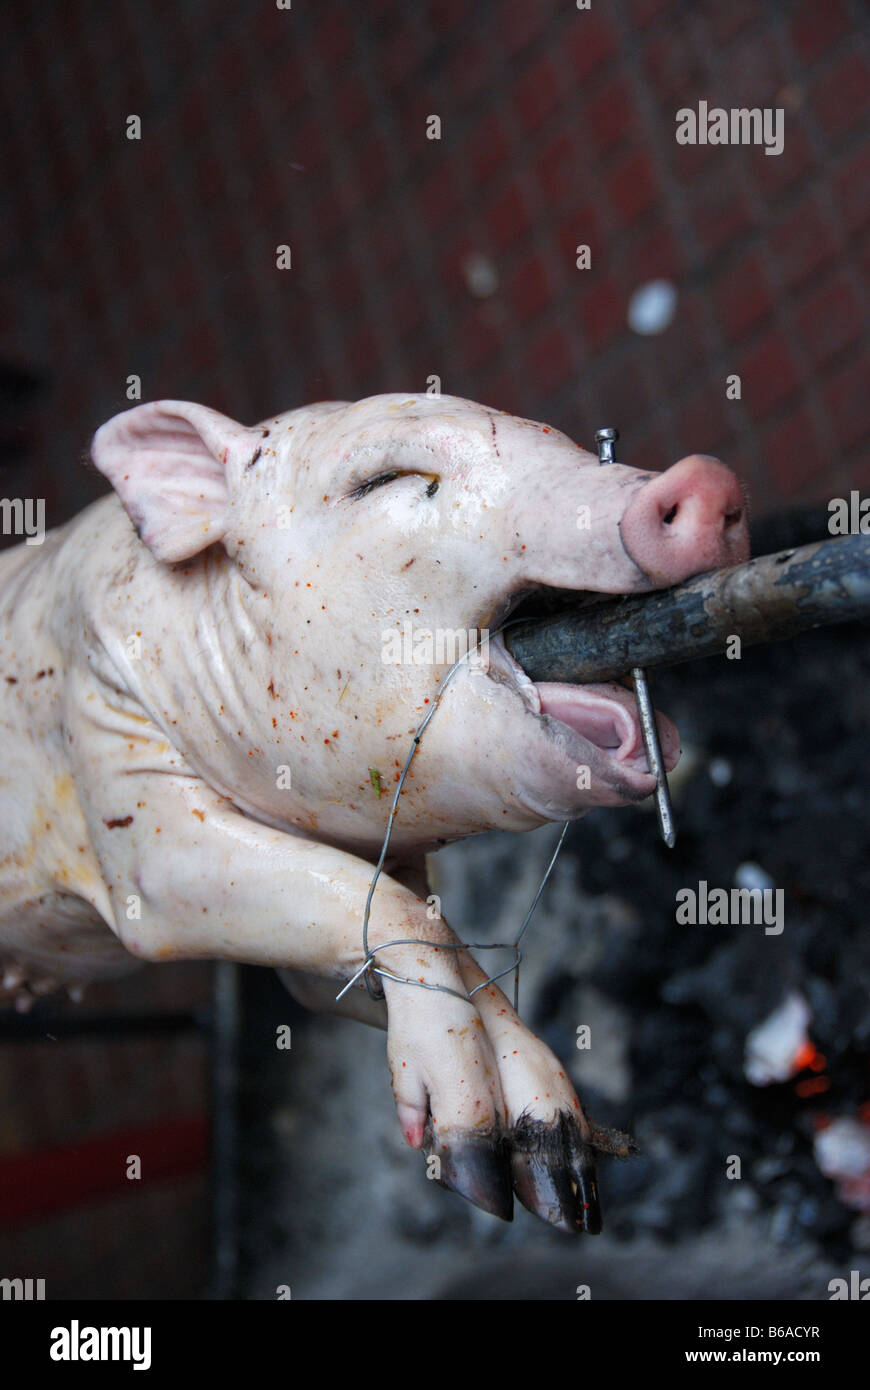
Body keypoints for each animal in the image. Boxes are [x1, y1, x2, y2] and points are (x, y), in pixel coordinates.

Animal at [0, 393, 749, 1232]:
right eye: (384, 478)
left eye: (564, 440)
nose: (703, 479)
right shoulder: (117, 789)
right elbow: (386, 914)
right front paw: (479, 1181)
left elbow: (417, 950)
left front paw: (558, 1187)